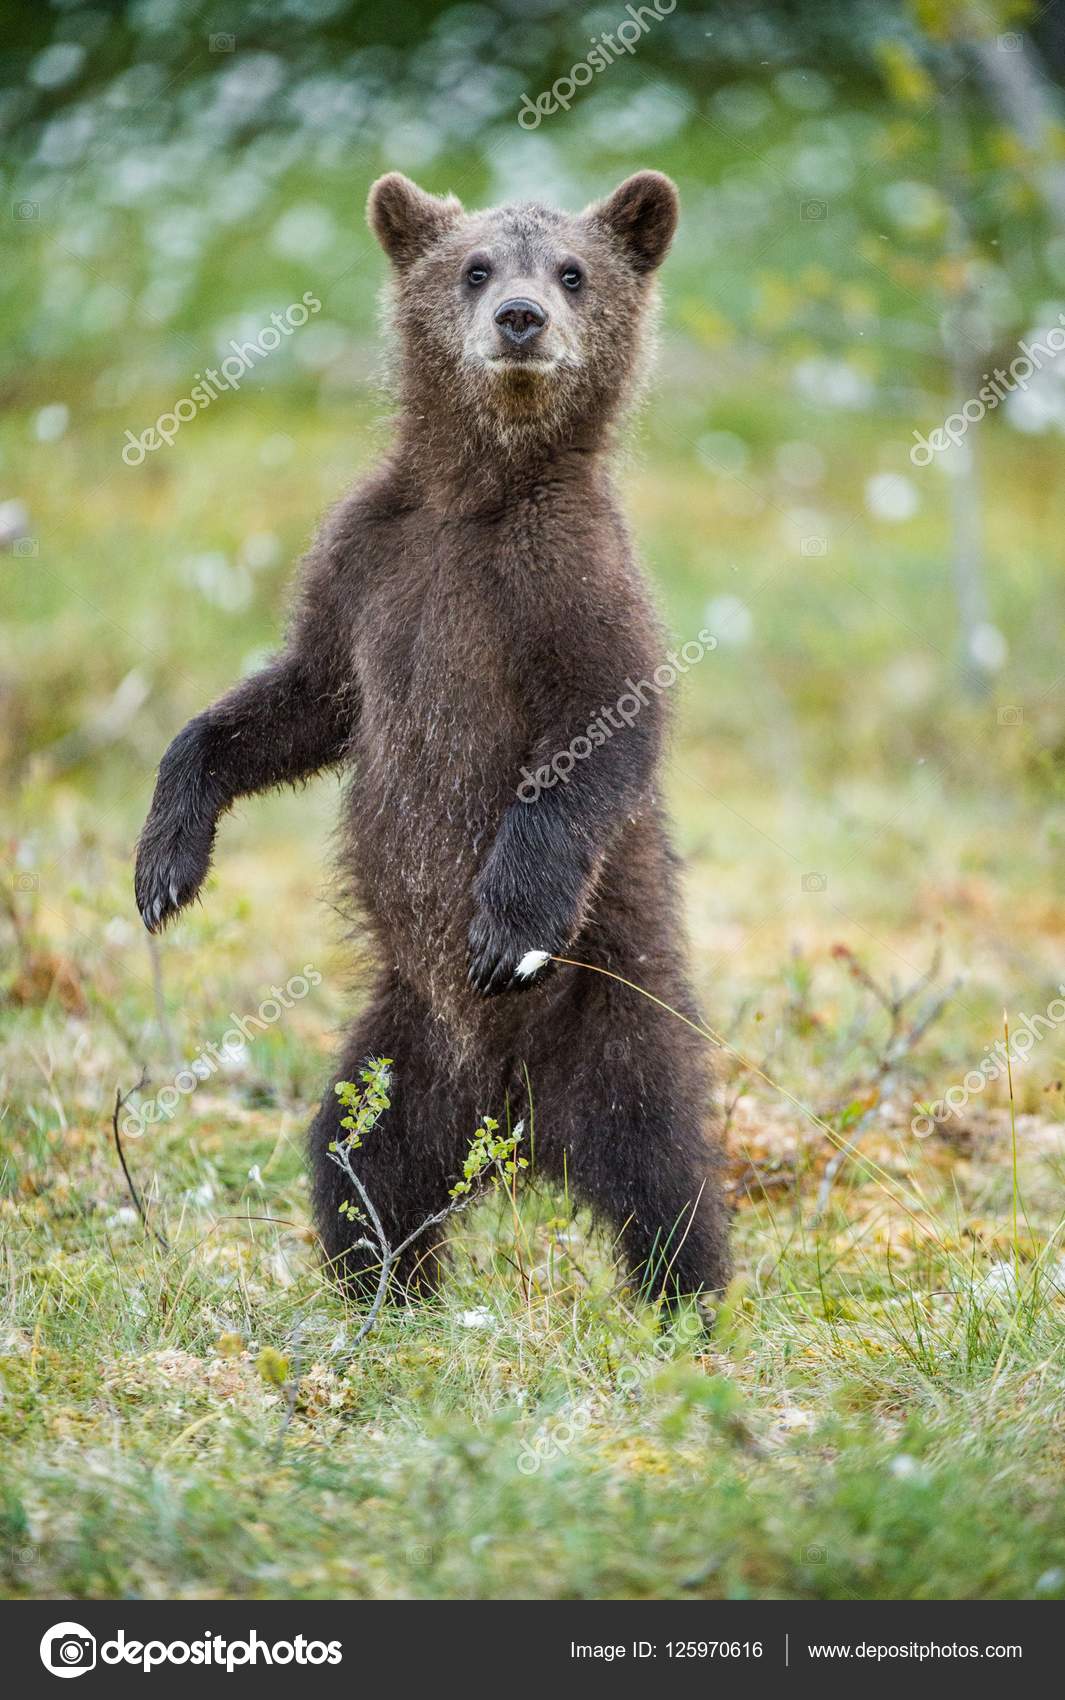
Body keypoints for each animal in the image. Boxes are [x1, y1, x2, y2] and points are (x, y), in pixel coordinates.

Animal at [134, 169, 731, 1304]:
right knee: (360, 1157)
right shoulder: (372, 562)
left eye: (572, 269)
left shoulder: (571, 582)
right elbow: (302, 700)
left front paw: (506, 921)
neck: (478, 495)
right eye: (476, 265)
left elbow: (600, 733)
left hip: (615, 1006)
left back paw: (686, 1299)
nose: (521, 318)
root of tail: (517, 1130)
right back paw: (382, 1285)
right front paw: (166, 862)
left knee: (661, 1164)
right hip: (403, 1041)